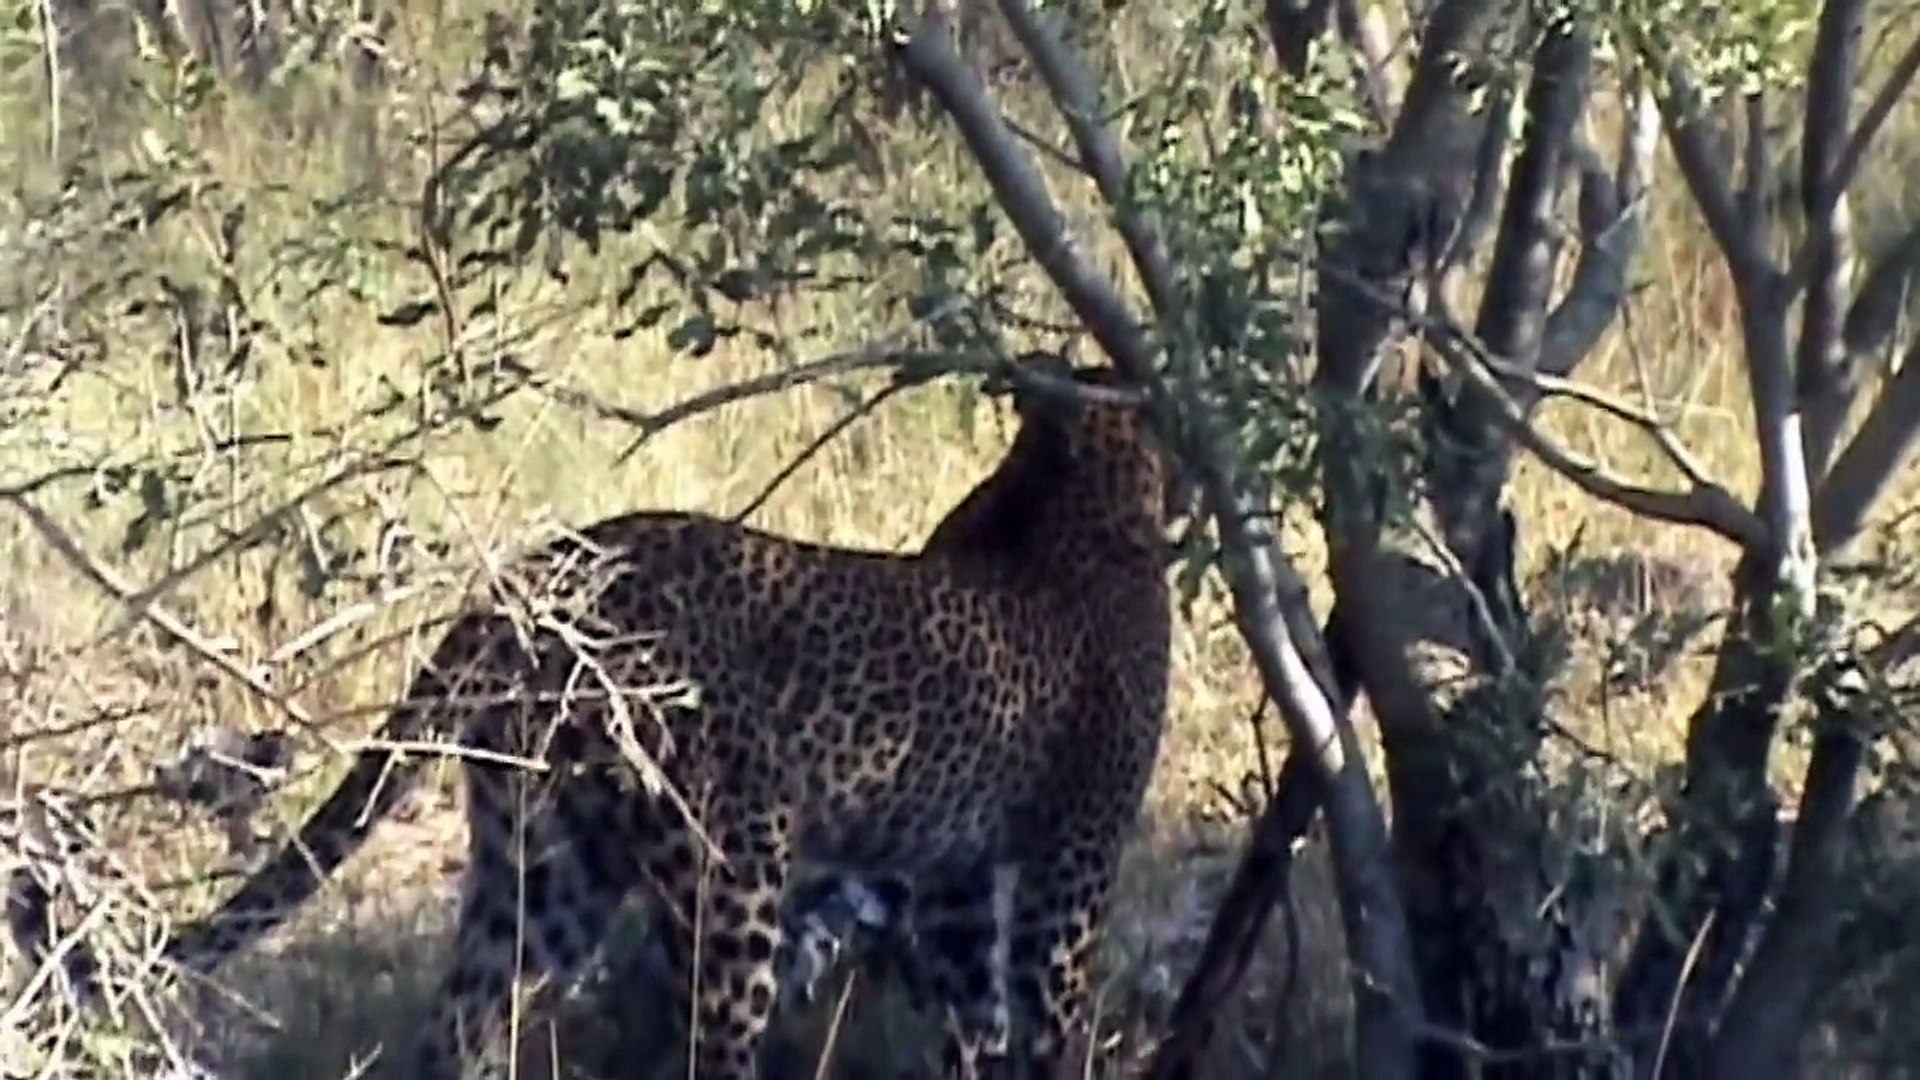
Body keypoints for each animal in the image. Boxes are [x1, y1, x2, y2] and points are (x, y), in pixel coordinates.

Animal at [65, 361, 1175, 1079]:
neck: (1071, 486)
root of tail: (522, 584)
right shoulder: (1070, 869)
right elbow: (1051, 1027)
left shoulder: (952, 884)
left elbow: (976, 1033)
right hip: (729, 872)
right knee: (706, 1051)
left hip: (545, 869)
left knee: (457, 1032)